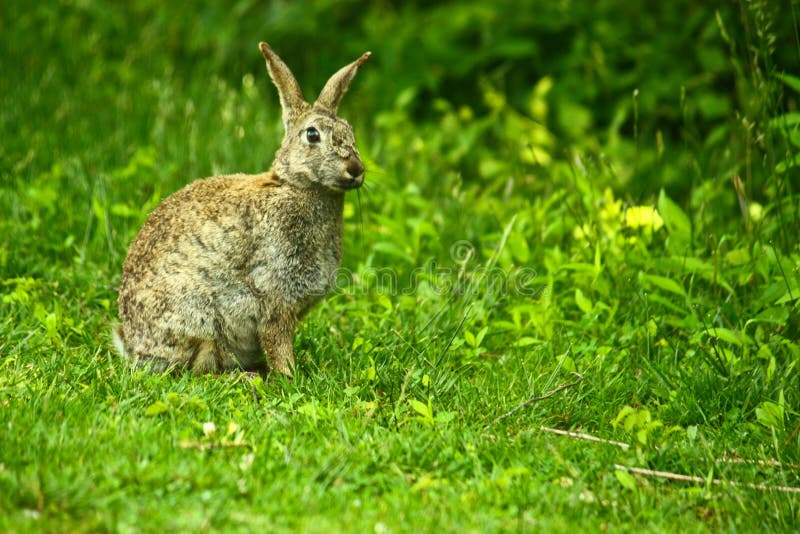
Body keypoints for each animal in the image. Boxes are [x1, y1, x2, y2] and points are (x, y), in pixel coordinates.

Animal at [114, 42, 371, 376]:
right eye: (312, 135)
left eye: (350, 130)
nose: (356, 169)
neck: (298, 187)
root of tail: (131, 345)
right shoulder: (275, 297)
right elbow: (278, 342)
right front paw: (290, 377)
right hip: (198, 320)